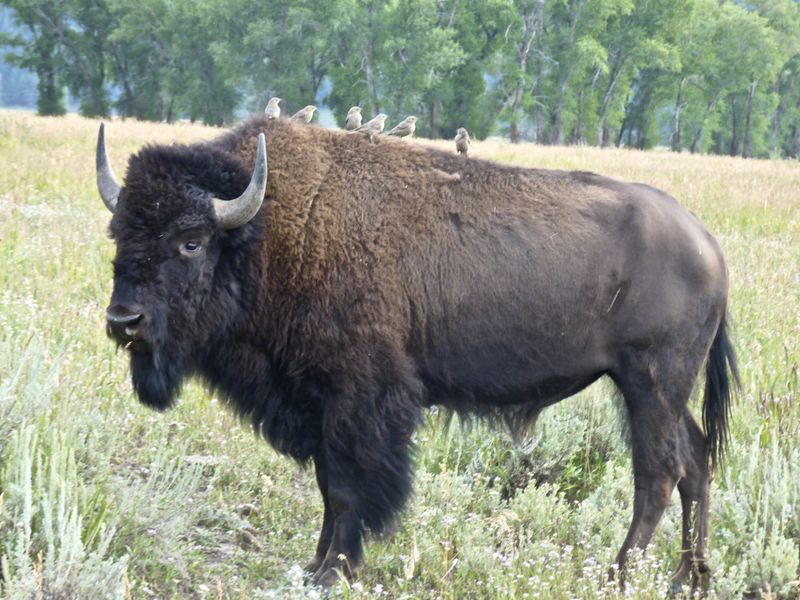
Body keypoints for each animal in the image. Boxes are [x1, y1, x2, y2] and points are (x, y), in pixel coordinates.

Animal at [96, 116, 737, 590]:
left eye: (191, 241)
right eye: (119, 232)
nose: (124, 321)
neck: (268, 230)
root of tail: (709, 244)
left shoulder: (358, 399)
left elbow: (348, 485)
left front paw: (334, 571)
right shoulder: (318, 402)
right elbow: (329, 485)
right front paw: (316, 564)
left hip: (649, 382)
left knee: (658, 472)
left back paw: (619, 575)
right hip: (664, 390)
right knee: (695, 463)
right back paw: (686, 577)